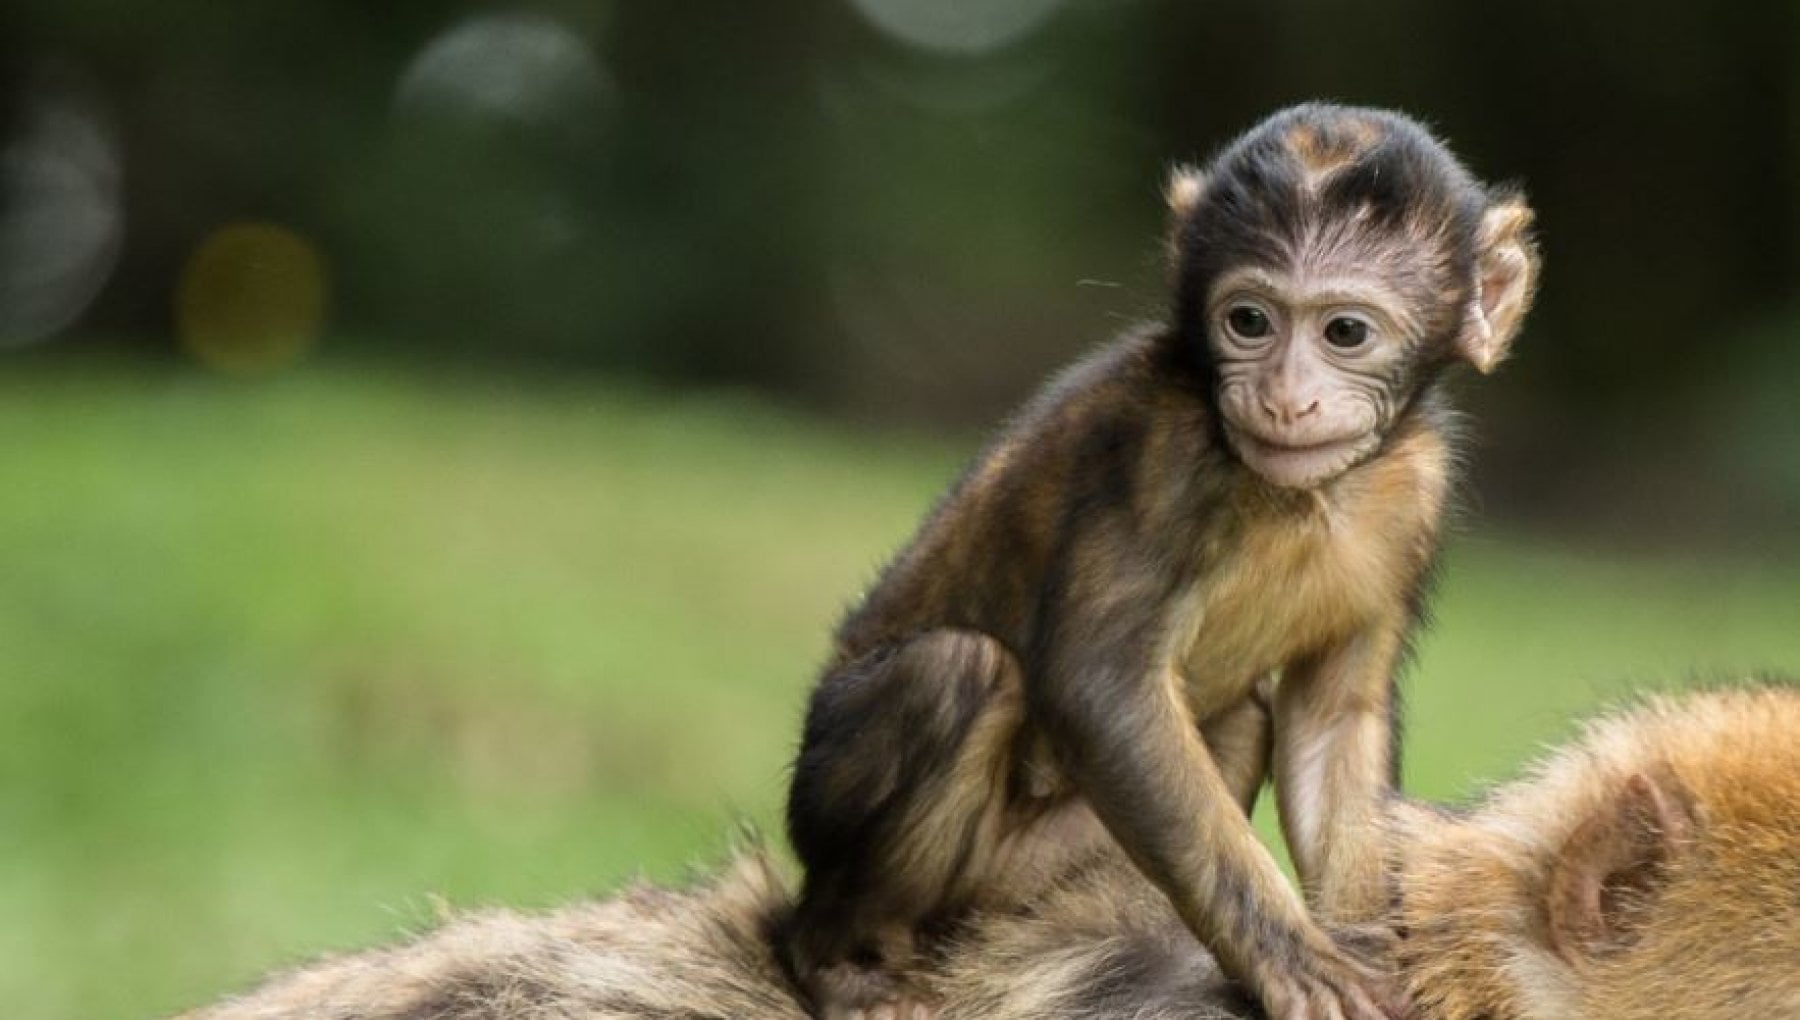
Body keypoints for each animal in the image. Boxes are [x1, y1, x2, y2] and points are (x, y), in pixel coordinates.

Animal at [782, 102, 1539, 1020]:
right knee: (954, 672)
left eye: (1345, 332)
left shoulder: (1418, 491)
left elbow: (1333, 722)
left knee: (1242, 717)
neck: (1305, 495)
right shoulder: (1159, 453)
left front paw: (1378, 953)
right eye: (1248, 321)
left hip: (1022, 878)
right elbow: (1102, 686)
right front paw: (1294, 961)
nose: (1284, 399)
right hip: (836, 807)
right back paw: (833, 957)